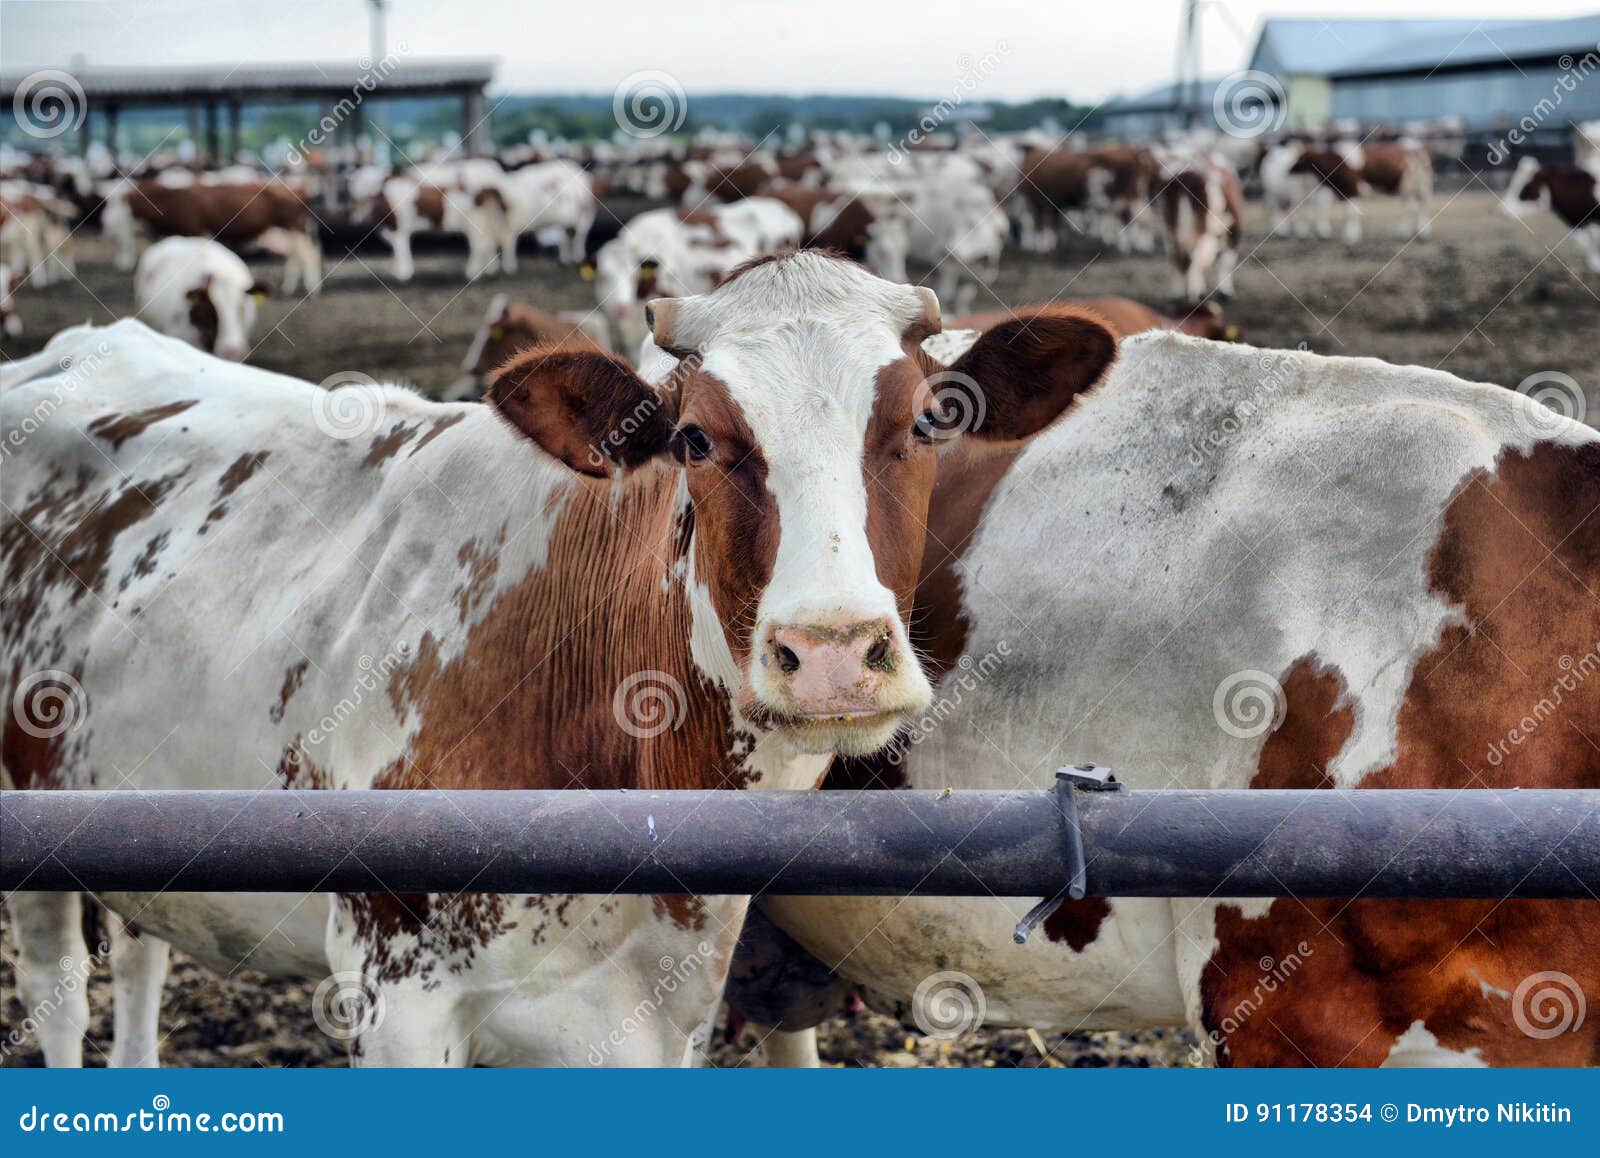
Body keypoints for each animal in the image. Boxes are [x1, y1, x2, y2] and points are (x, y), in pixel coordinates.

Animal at [102, 178, 323, 293]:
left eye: (121, 207)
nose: (107, 227)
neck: (173, 200)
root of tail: (299, 188)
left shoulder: (195, 231)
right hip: (288, 231)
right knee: (296, 257)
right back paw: (289, 287)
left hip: (295, 228)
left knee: (308, 256)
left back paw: (312, 288)